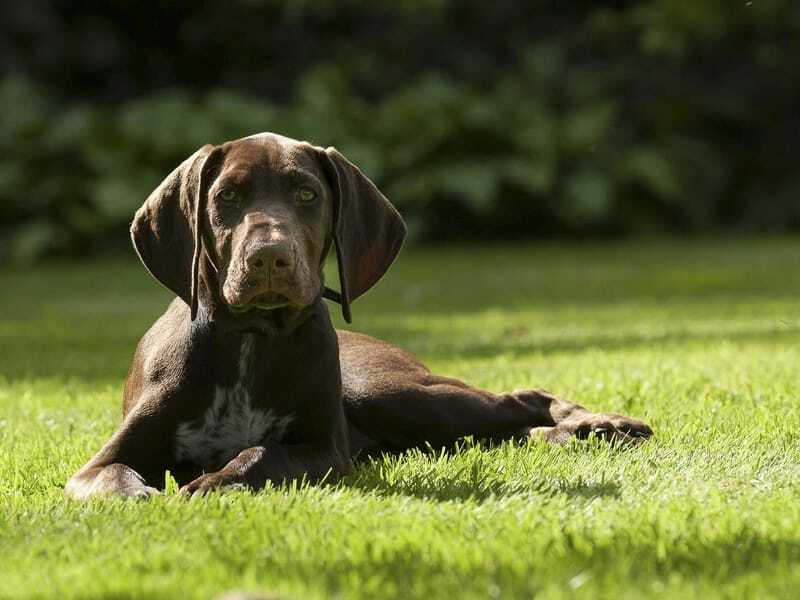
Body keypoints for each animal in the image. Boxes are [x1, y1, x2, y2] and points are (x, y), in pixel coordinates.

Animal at [62, 134, 648, 500]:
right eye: (227, 196)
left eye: (307, 193)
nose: (269, 258)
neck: (250, 339)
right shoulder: (98, 463)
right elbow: (112, 477)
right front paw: (141, 494)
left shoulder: (325, 450)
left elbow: (261, 453)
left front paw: (212, 482)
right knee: (503, 427)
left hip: (390, 394)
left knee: (519, 398)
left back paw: (602, 424)